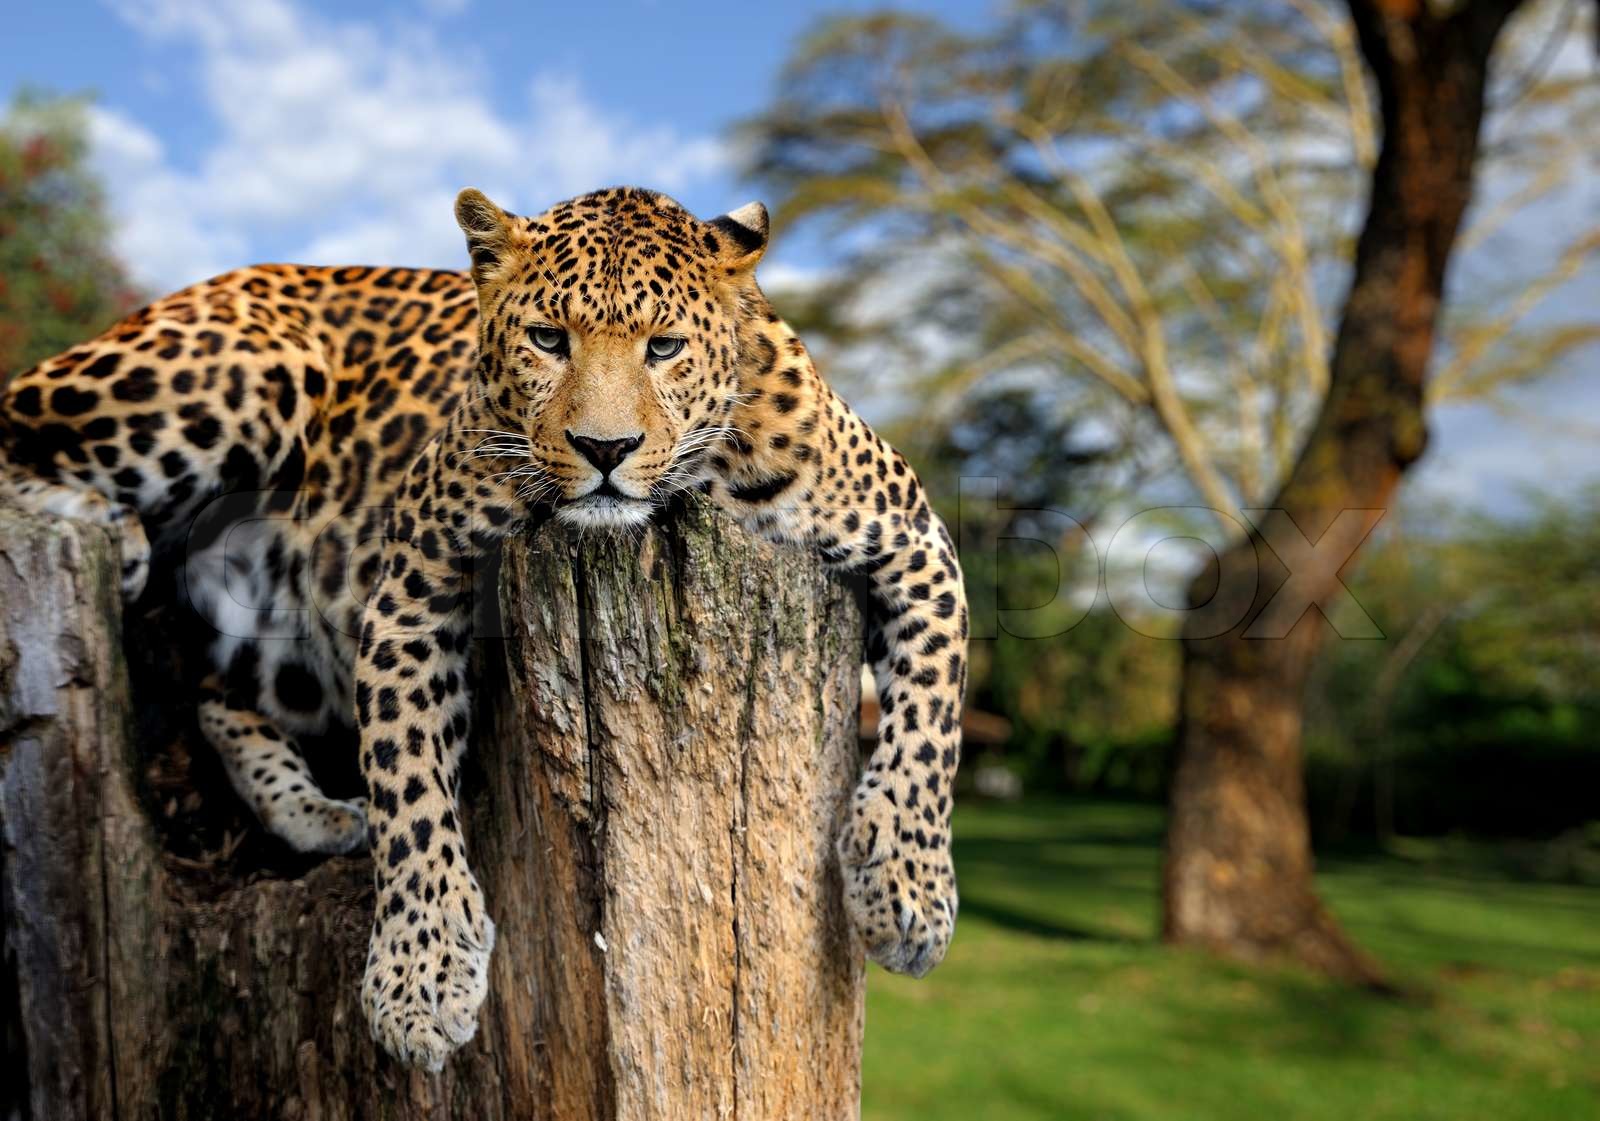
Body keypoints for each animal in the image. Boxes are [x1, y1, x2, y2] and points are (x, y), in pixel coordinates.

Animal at [0, 186, 968, 1070]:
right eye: (548, 339)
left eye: (663, 347)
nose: (605, 450)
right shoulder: (413, 580)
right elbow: (408, 780)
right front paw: (420, 977)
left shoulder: (918, 540)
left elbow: (933, 719)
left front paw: (907, 892)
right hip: (237, 370)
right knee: (17, 428)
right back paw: (111, 529)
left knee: (216, 693)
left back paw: (317, 812)